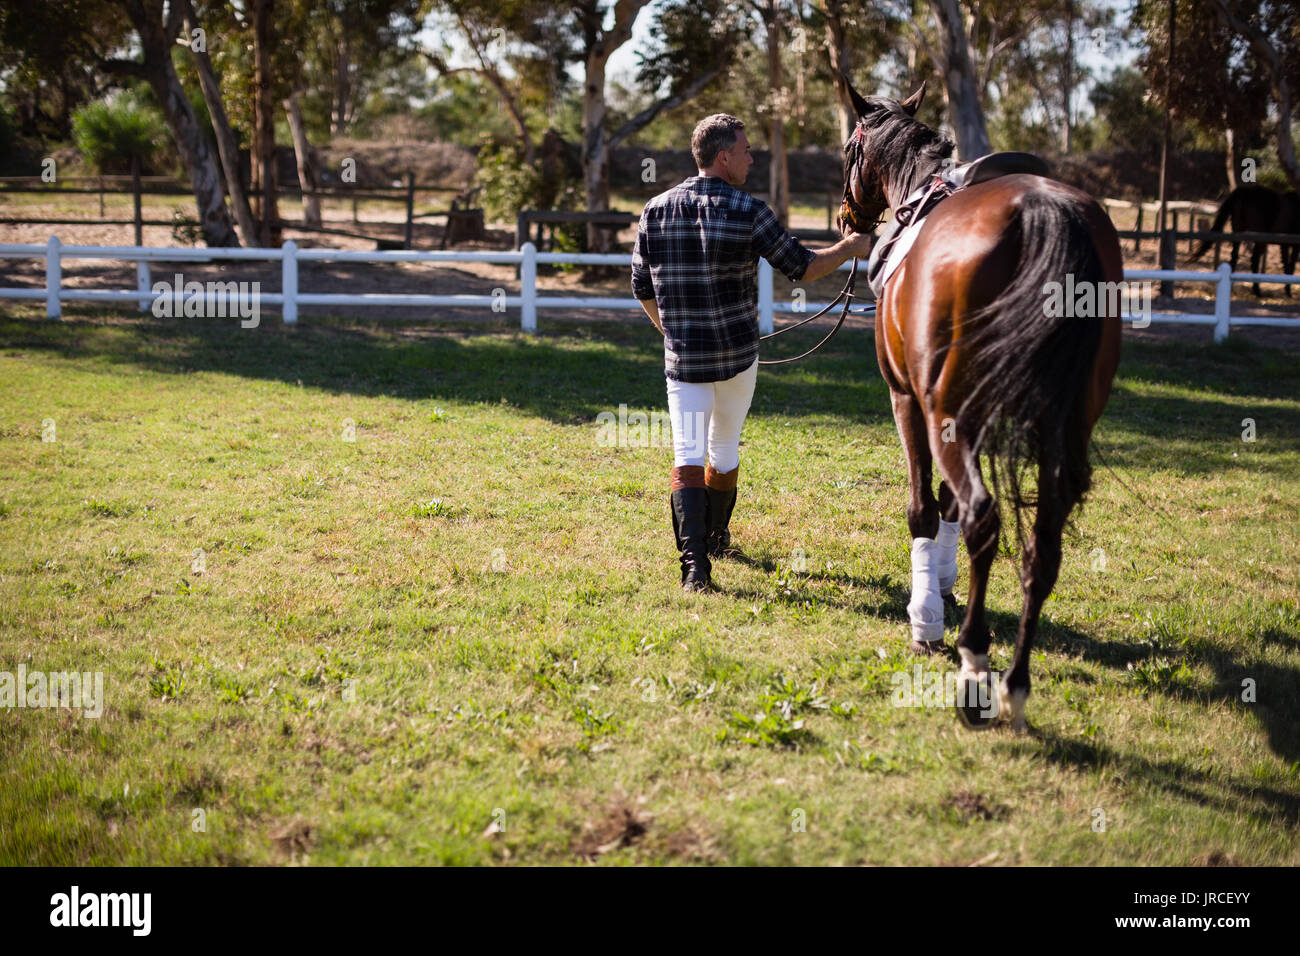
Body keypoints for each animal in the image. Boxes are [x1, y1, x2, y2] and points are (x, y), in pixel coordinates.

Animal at [838, 81, 1122, 732]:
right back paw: (1014, 682)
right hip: (1060, 423)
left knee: (985, 517)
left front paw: (926, 619)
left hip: (944, 411)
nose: (846, 218)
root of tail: (1044, 209)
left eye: (848, 150)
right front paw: (942, 588)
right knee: (1041, 543)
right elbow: (947, 507)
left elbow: (925, 509)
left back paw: (974, 667)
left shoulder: (909, 401)